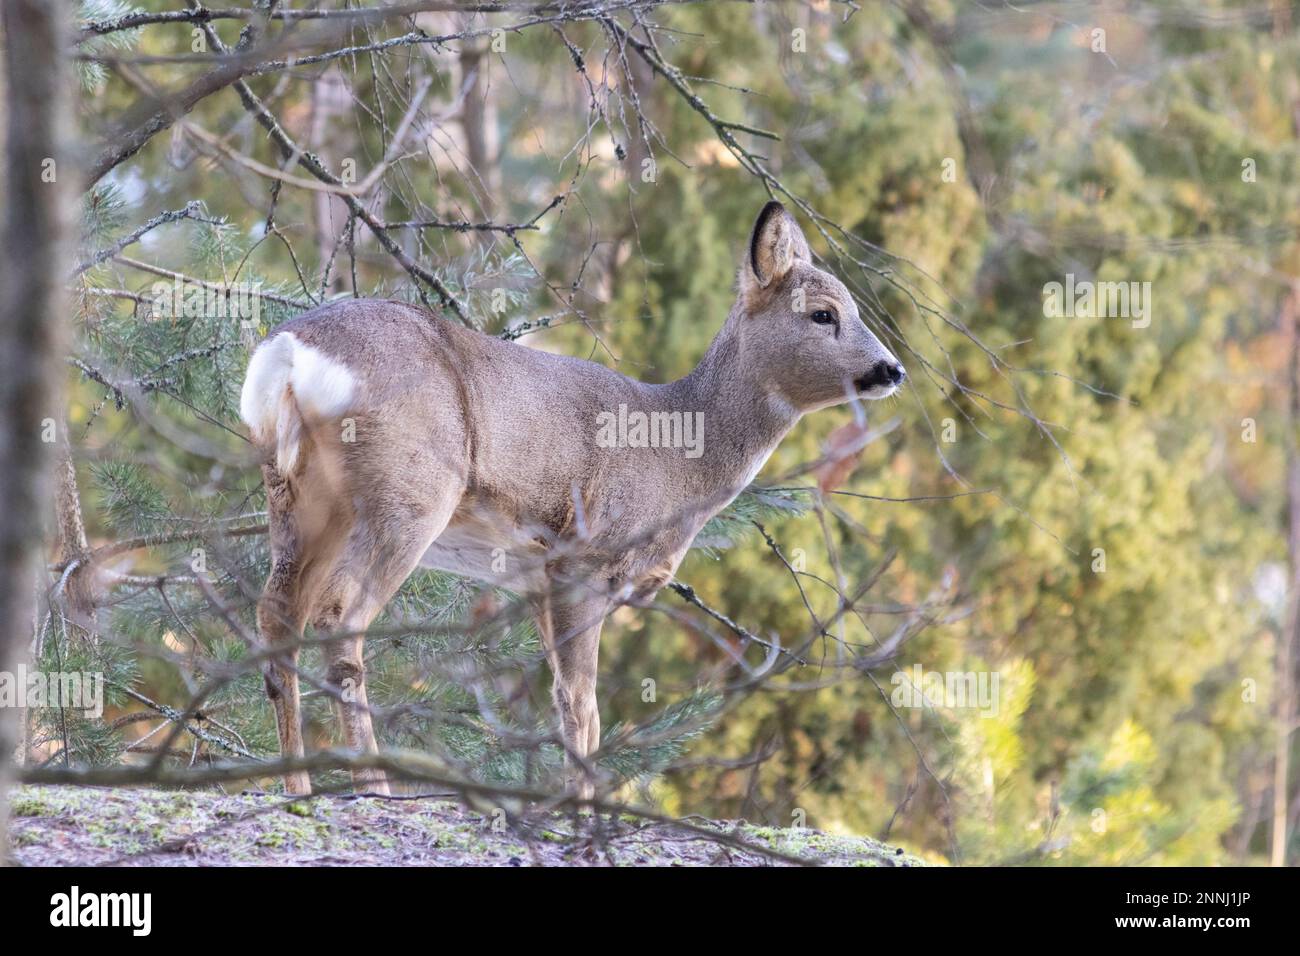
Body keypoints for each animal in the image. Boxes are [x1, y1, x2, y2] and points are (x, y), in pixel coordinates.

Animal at [238, 201, 905, 798]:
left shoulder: (537, 577)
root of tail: (290, 353)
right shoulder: (583, 558)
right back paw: (372, 784)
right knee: (339, 618)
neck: (680, 455)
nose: (892, 369)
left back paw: (295, 784)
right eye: (822, 314)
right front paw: (580, 803)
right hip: (407, 493)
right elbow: (582, 703)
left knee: (277, 615)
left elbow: (575, 706)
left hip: (298, 495)